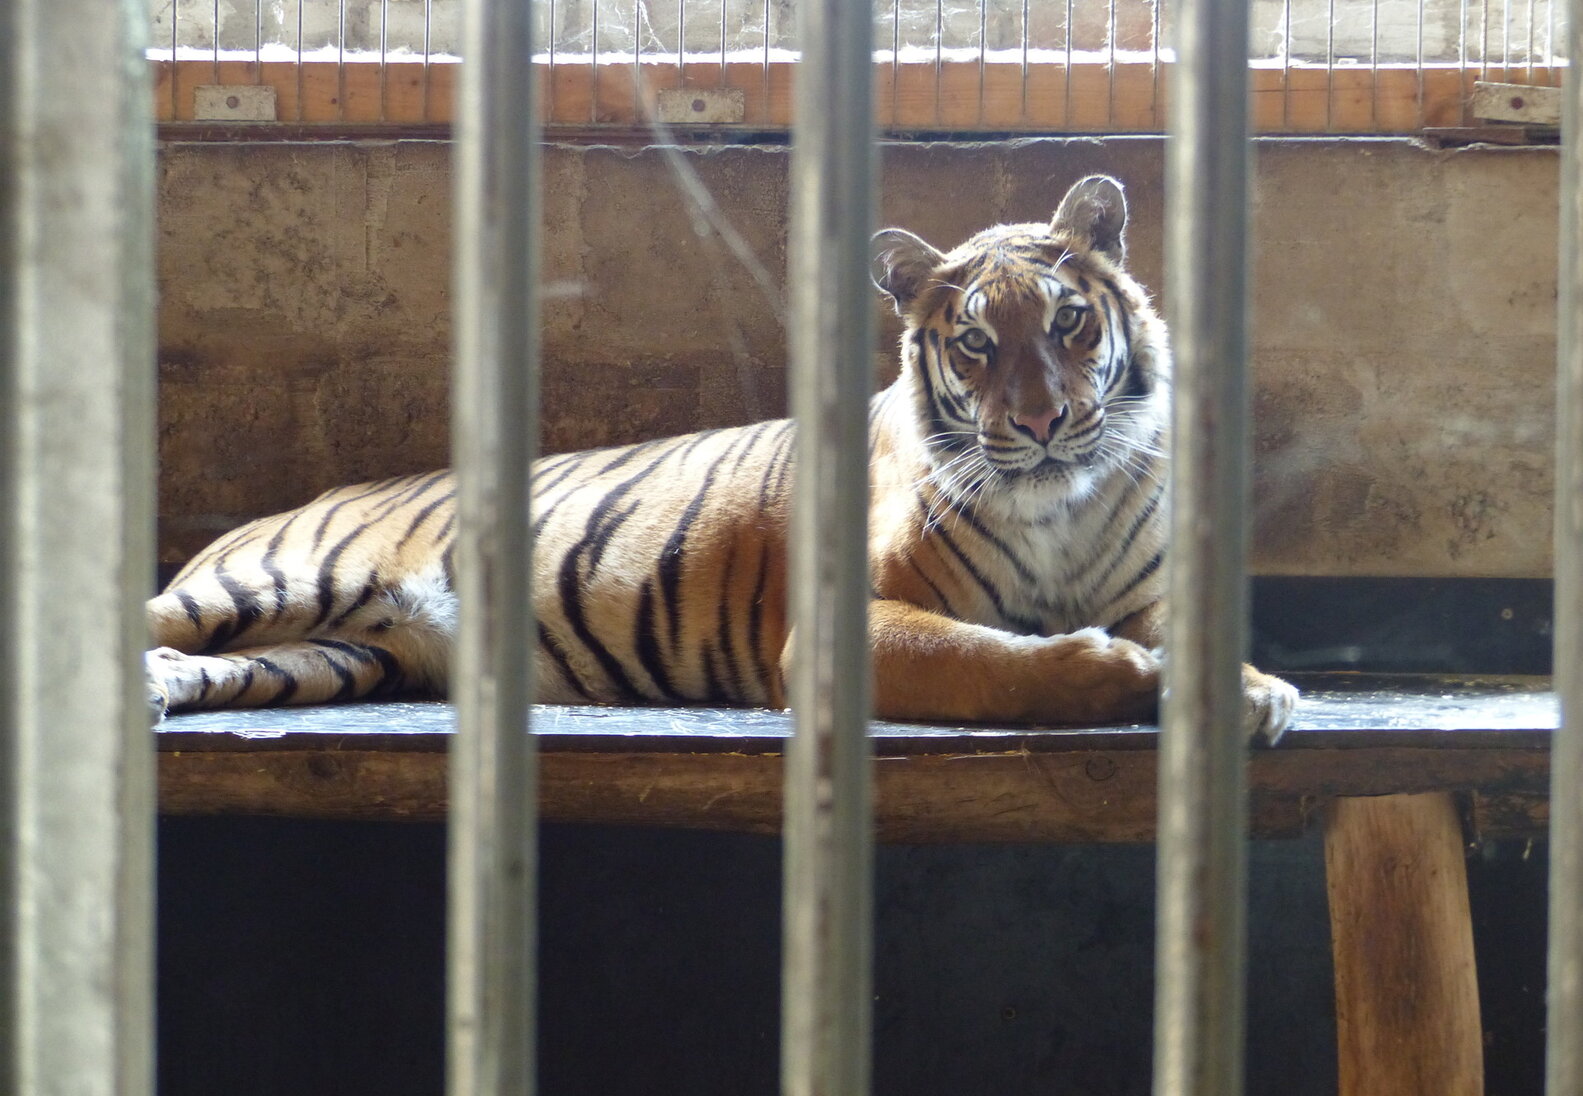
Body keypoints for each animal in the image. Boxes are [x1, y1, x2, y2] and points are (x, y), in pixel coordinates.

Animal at [146, 174, 1296, 742]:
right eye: (975, 342)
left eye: (1066, 321)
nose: (1049, 421)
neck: (1059, 506)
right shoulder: (856, 622)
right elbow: (994, 662)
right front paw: (1117, 673)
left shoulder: (1146, 589)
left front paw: (1254, 690)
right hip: (276, 584)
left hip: (335, 652)